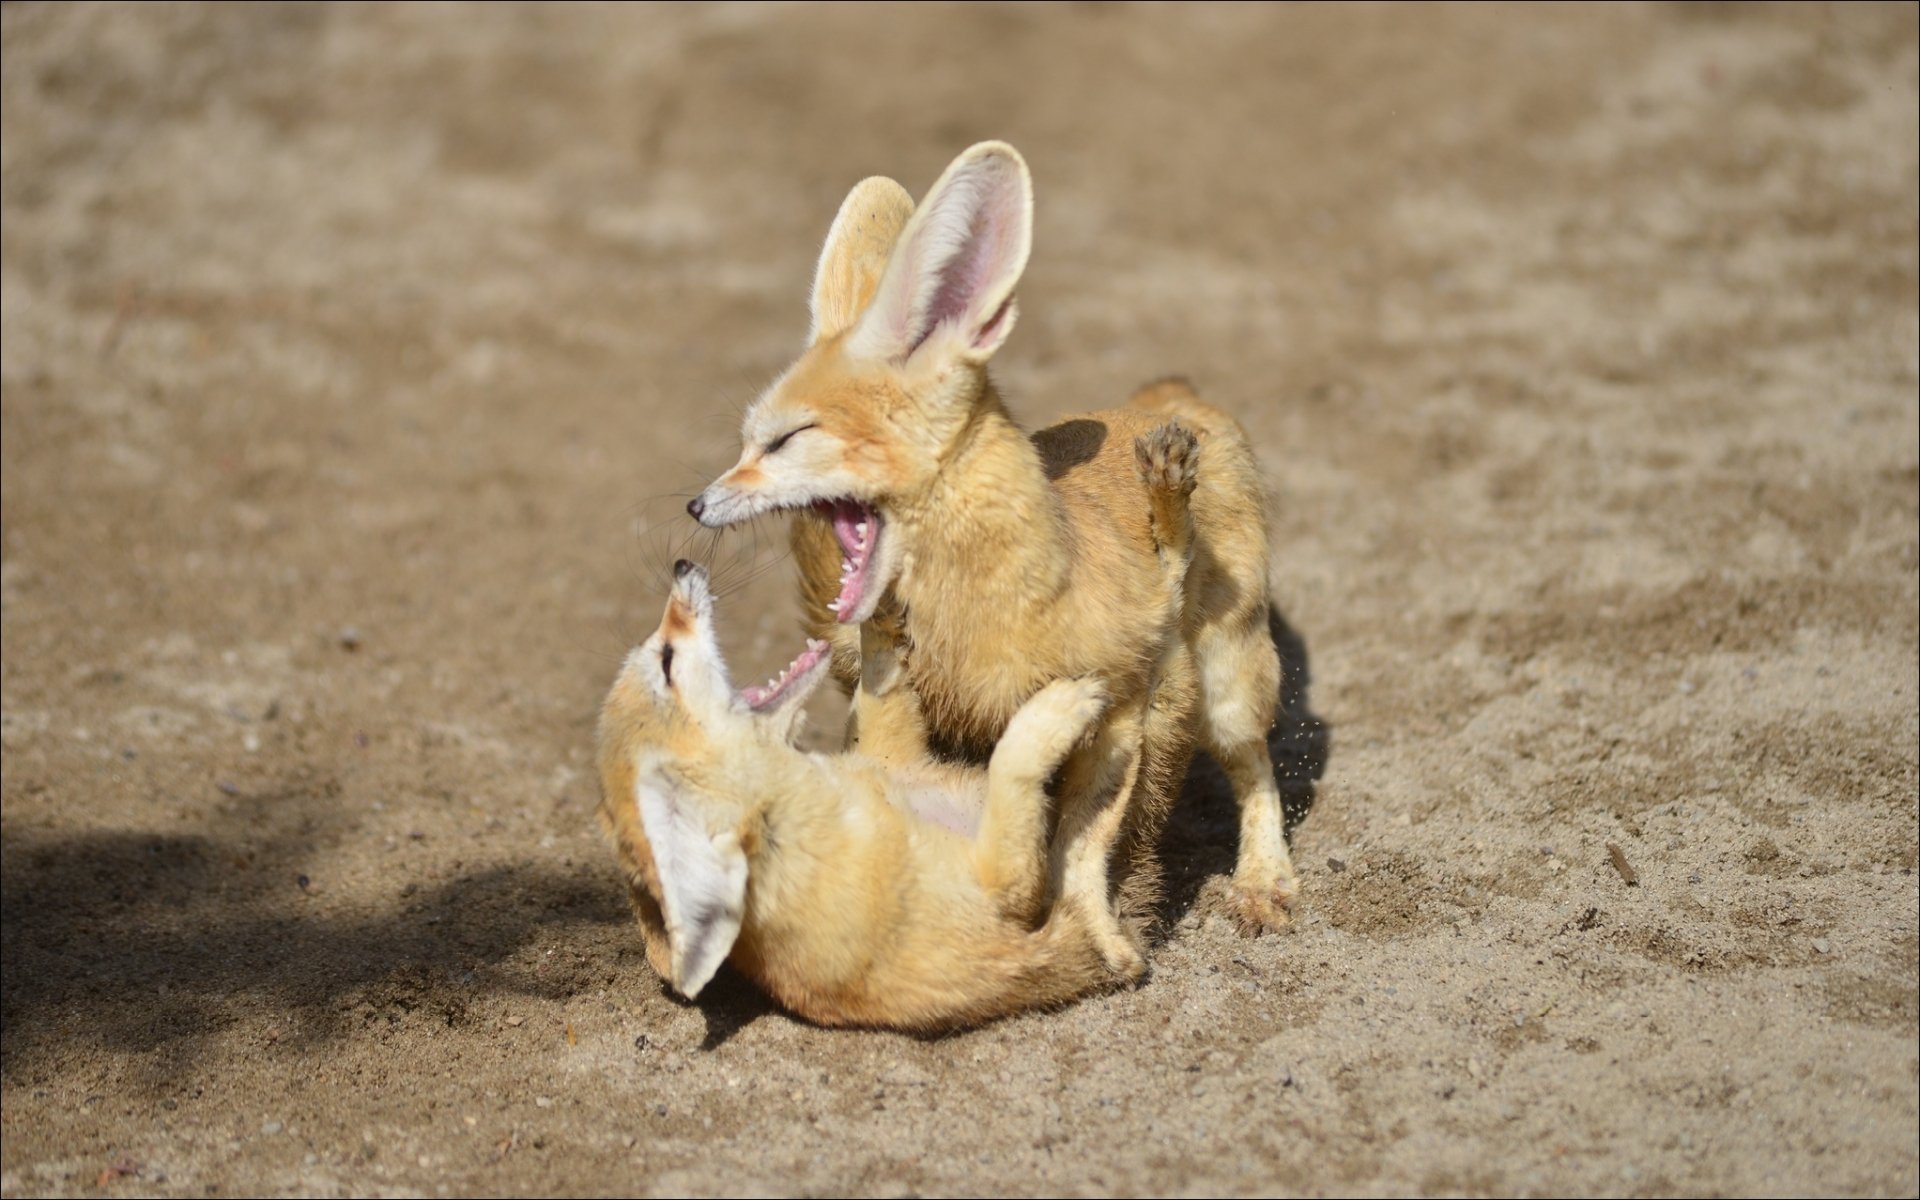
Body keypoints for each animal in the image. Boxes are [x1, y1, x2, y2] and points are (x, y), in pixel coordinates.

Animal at [596, 559, 1134, 1030]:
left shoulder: (893, 754)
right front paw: (1060, 709)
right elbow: (1010, 765)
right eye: (666, 662)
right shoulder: (1009, 886)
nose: (682, 565)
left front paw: (870, 595)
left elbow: (878, 685)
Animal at [685, 141, 1300, 974]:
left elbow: (1089, 844)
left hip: (1231, 678)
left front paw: (1101, 936)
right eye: (749, 440)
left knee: (1254, 768)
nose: (695, 506)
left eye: (785, 439)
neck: (986, 611)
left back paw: (1264, 883)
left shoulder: (1127, 711)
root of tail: (1172, 400)